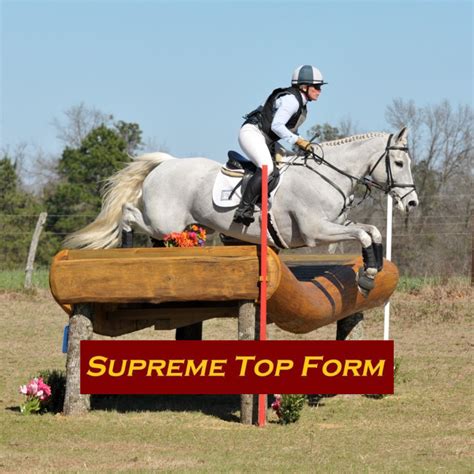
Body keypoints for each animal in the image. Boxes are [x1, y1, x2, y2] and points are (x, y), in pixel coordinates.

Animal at [63, 127, 418, 294]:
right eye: (399, 163)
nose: (411, 202)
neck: (326, 174)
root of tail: (166, 164)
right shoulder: (317, 232)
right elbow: (363, 233)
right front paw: (368, 275)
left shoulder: (337, 224)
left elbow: (371, 231)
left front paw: (372, 270)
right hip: (162, 221)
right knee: (128, 213)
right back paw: (125, 244)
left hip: (176, 224)